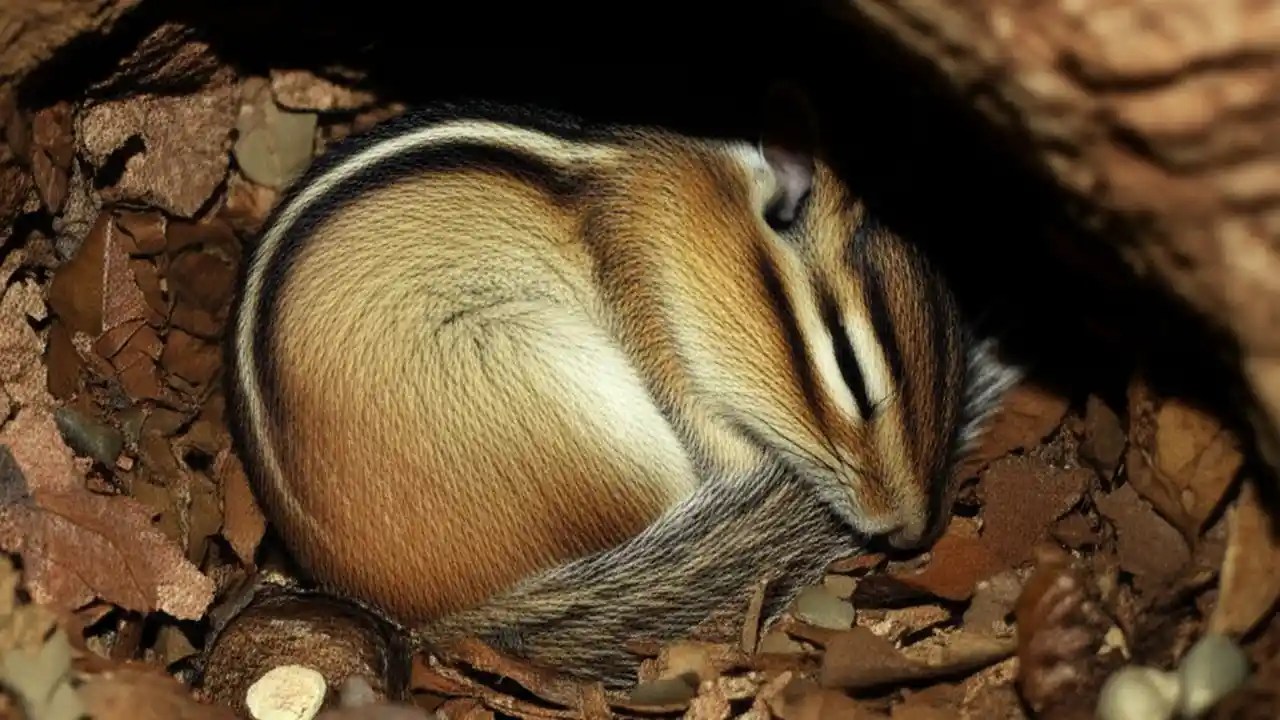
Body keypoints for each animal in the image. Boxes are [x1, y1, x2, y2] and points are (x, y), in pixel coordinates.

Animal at [225, 86, 1022, 689]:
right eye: (851, 369)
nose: (915, 532)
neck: (687, 210)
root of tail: (422, 611)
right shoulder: (657, 328)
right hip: (580, 409)